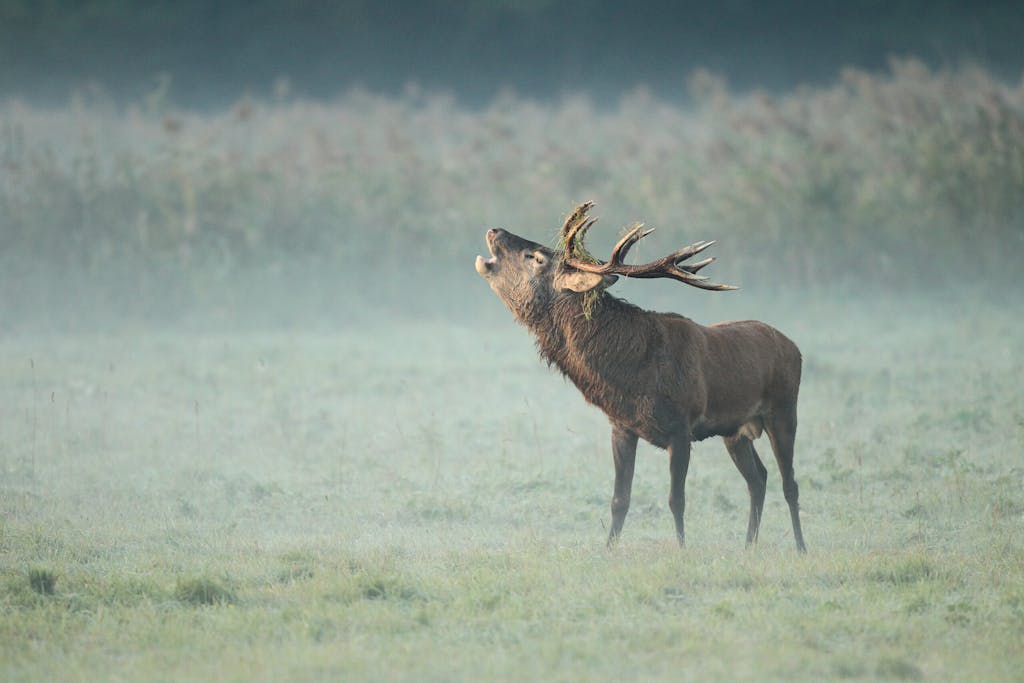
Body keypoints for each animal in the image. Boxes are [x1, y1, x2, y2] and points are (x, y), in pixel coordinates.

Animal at [475, 202, 806, 551]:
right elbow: (619, 499)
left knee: (790, 483)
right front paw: (608, 550)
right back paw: (748, 546)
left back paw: (800, 547)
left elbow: (677, 500)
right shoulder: (621, 427)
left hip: (784, 410)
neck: (633, 374)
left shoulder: (681, 428)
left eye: (537, 258)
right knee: (758, 479)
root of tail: (794, 346)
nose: (495, 230)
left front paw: (682, 550)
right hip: (736, 431)